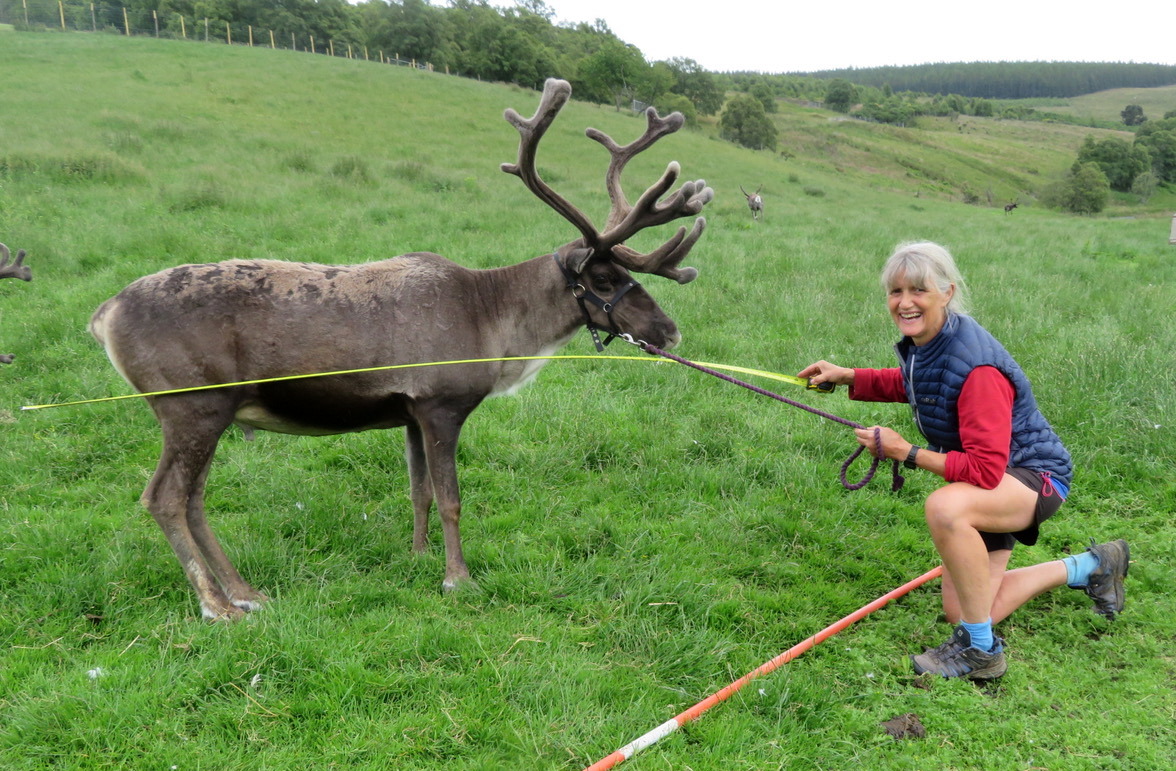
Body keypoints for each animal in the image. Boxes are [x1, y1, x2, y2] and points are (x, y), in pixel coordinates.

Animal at [89, 79, 713, 621]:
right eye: (604, 278)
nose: (669, 331)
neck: (493, 325)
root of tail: (104, 316)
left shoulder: (410, 411)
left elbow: (419, 494)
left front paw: (417, 557)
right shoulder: (441, 404)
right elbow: (452, 498)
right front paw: (457, 579)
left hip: (205, 414)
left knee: (192, 498)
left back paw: (246, 592)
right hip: (192, 405)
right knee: (164, 498)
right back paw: (217, 606)